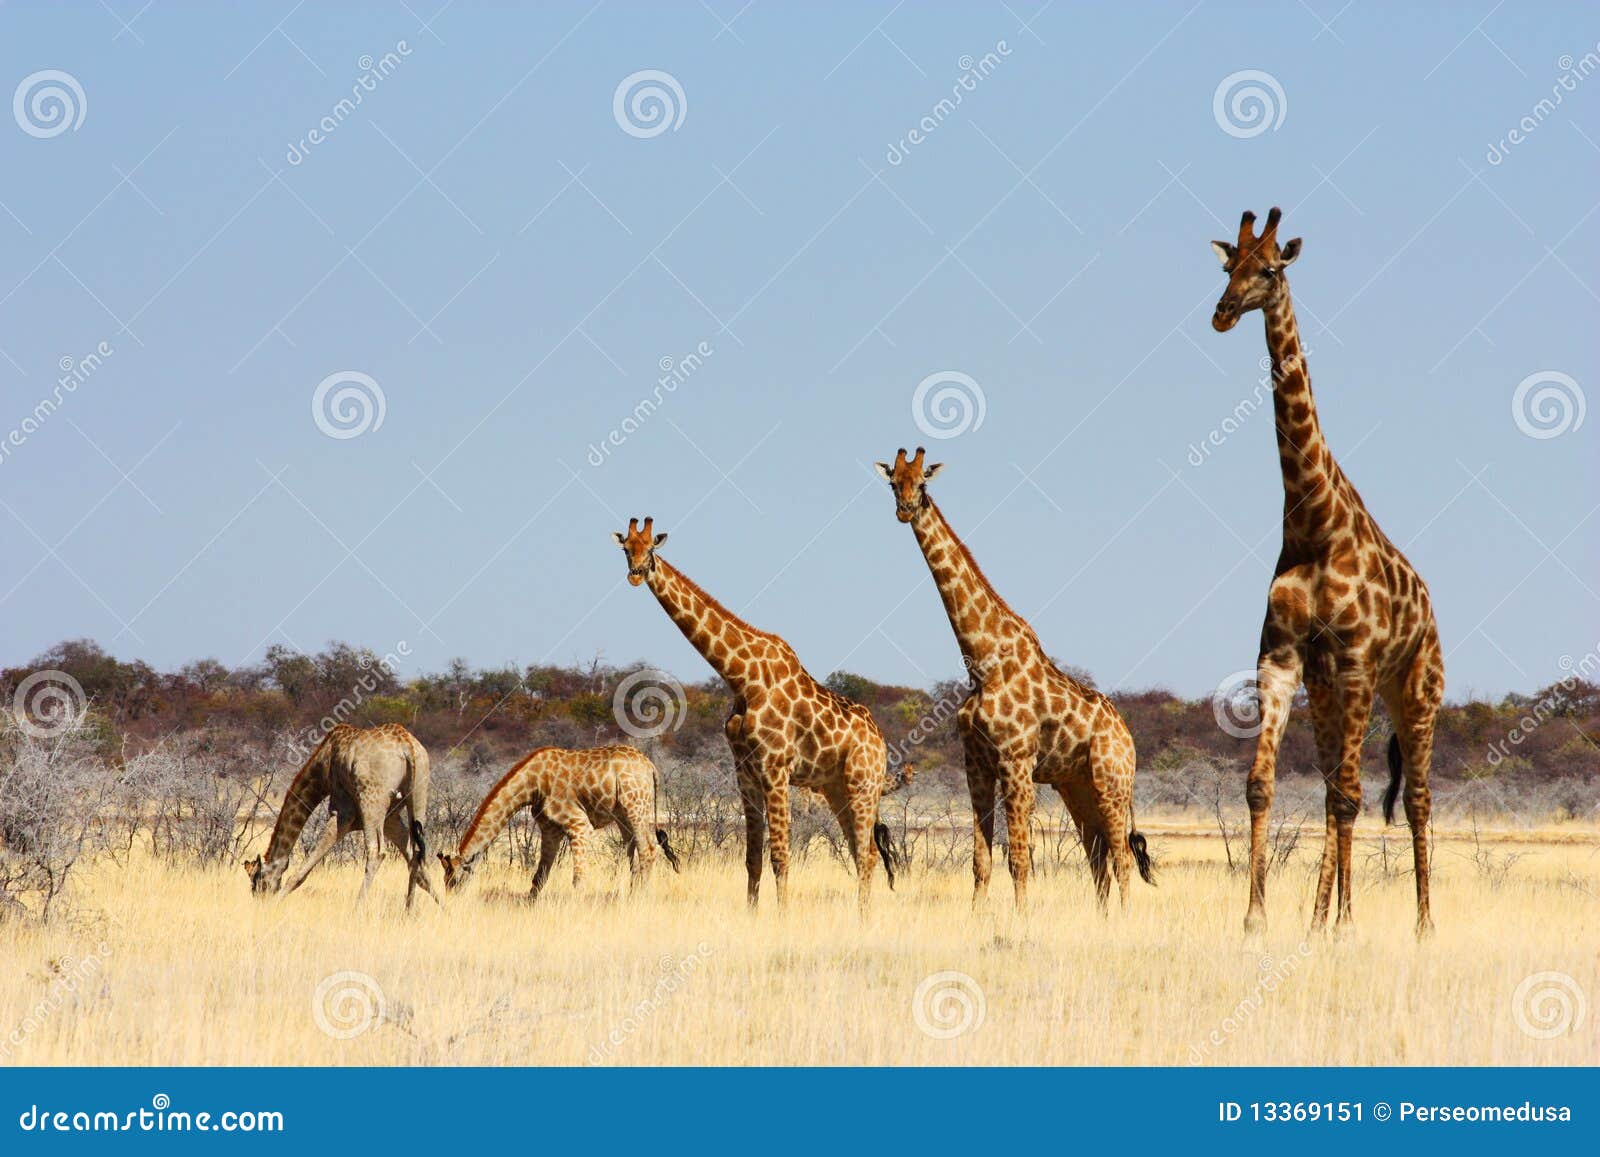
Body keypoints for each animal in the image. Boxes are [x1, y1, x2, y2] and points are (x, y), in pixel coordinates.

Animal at [245, 723, 439, 908]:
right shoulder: (391, 820)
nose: (260, 902)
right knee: (417, 853)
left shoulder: (342, 812)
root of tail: (408, 745)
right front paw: (440, 907)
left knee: (376, 852)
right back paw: (409, 908)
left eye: (258, 880)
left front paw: (276, 903)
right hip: (418, 794)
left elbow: (303, 872)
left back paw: (357, 908)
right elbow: (417, 868)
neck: (323, 768)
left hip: (372, 800)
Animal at [436, 744, 682, 898]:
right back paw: (632, 893)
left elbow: (578, 877)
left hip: (636, 807)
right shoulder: (550, 829)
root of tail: (650, 767)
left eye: (454, 880)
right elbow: (539, 876)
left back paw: (641, 895)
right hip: (623, 814)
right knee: (636, 851)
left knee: (648, 849)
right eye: (444, 881)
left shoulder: (578, 824)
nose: (451, 902)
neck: (533, 783)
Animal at [613, 517, 904, 913]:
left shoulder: (776, 770)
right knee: (863, 852)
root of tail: (880, 741)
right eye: (626, 548)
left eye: (651, 548)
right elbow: (752, 858)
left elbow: (780, 855)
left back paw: (864, 917)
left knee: (869, 852)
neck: (741, 678)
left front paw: (781, 917)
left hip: (864, 784)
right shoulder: (746, 774)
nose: (636, 573)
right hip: (836, 788)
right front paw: (752, 915)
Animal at [875, 449, 1152, 910]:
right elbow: (981, 860)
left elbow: (1019, 858)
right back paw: (1103, 919)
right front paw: (978, 917)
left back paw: (1125, 919)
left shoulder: (1016, 761)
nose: (905, 509)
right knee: (1098, 857)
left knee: (1122, 857)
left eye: (923, 482)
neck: (983, 664)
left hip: (1112, 782)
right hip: (1076, 786)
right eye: (894, 482)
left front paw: (1021, 919)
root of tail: (1128, 737)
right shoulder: (976, 764)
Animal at [1210, 207, 1444, 937]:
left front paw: (1339, 925)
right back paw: (1326, 914)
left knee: (1415, 798)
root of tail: (1431, 609)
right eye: (1226, 266)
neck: (1312, 523)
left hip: (1414, 689)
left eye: (1269, 270)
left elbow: (1348, 796)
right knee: (1339, 788)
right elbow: (1263, 786)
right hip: (1331, 691)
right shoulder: (1282, 661)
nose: (1222, 313)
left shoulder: (1357, 662)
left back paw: (1422, 924)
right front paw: (1258, 918)